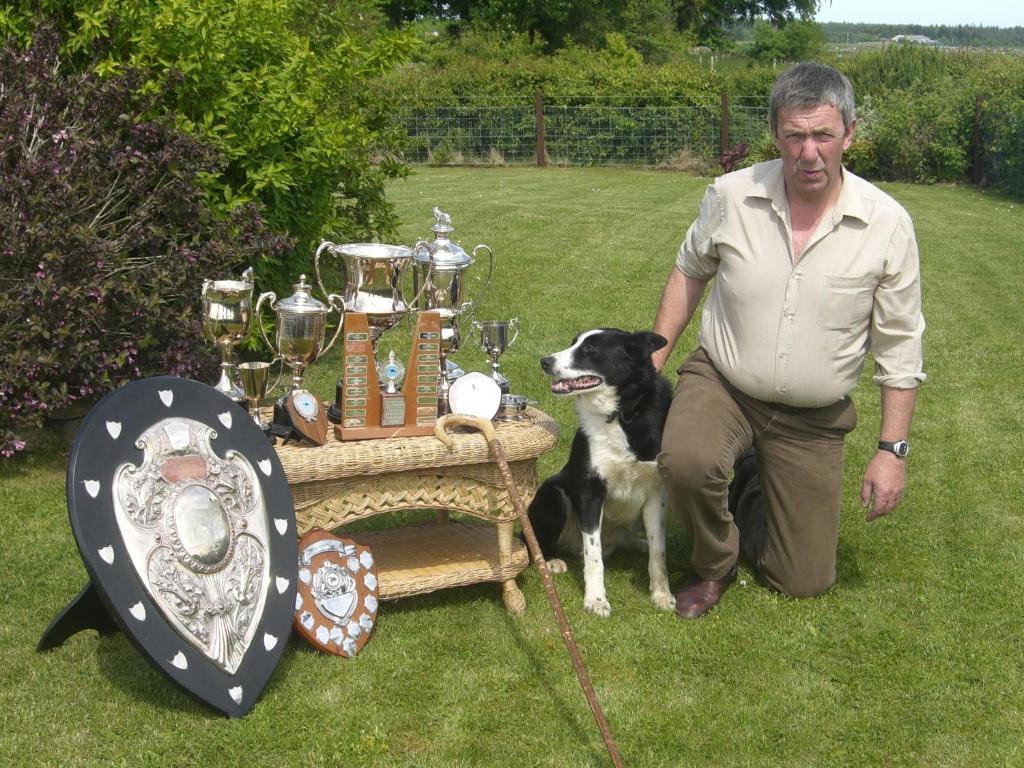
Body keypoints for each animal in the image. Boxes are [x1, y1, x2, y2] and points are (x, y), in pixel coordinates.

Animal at [528, 327, 679, 618]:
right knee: (534, 541)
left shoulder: (657, 494)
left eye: (590, 350)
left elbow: (659, 551)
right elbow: (594, 556)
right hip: (554, 495)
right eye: (573, 343)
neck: (621, 414)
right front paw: (596, 600)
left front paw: (661, 594)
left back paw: (638, 544)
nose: (544, 362)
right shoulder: (590, 491)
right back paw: (552, 561)